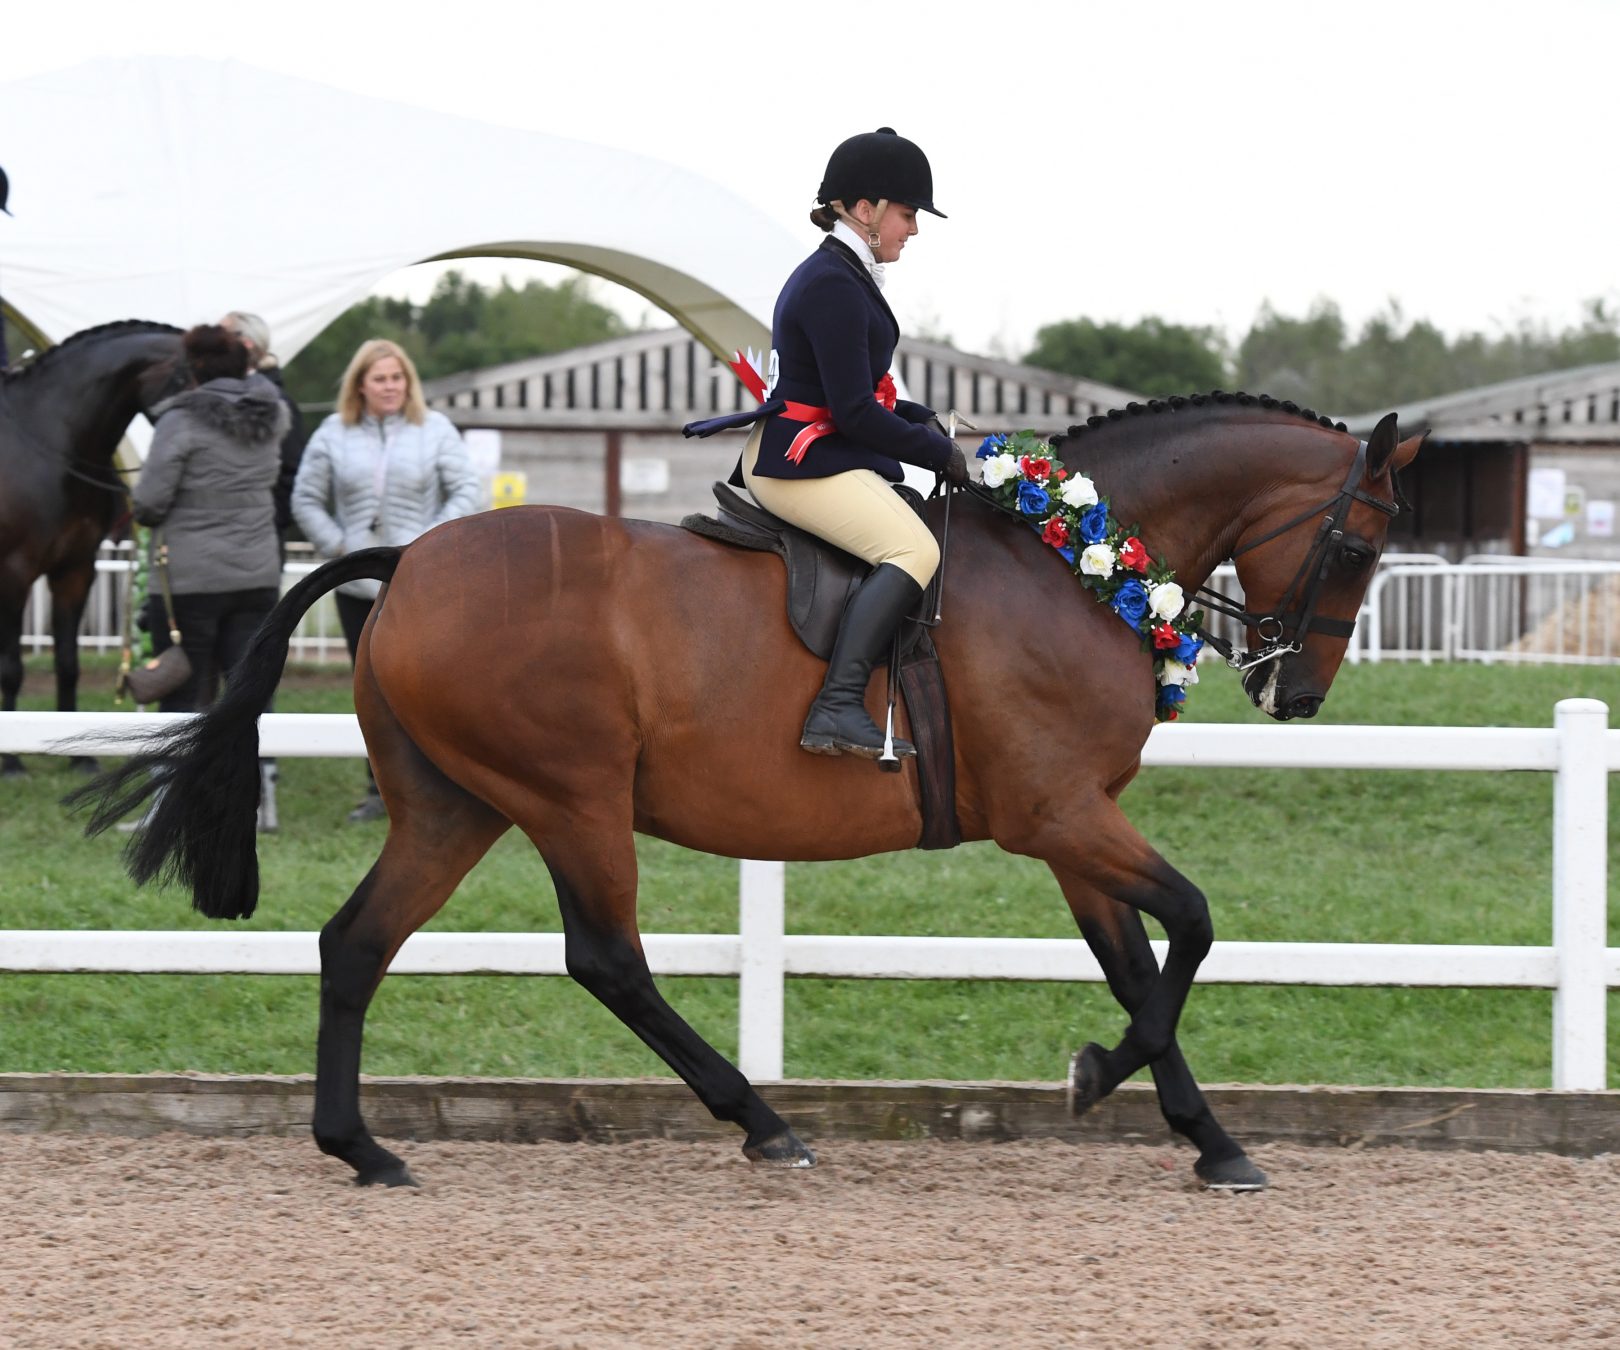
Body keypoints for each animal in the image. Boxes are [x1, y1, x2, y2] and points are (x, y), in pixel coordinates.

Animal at [1, 320, 189, 775]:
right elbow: (11, 667)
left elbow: (68, 663)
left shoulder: (75, 570)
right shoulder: (14, 573)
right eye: (190, 375)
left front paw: (80, 756)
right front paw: (11, 761)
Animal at [71, 392, 1422, 1191]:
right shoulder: (1061, 813)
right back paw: (762, 1122)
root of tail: (404, 562)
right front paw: (1102, 1078)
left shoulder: (1069, 825)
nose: (1296, 693)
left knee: (356, 944)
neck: (1078, 561)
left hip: (458, 804)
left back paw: (360, 1147)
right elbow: (1189, 928)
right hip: (569, 798)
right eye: (1359, 545)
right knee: (607, 959)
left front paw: (1211, 1140)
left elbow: (1140, 962)